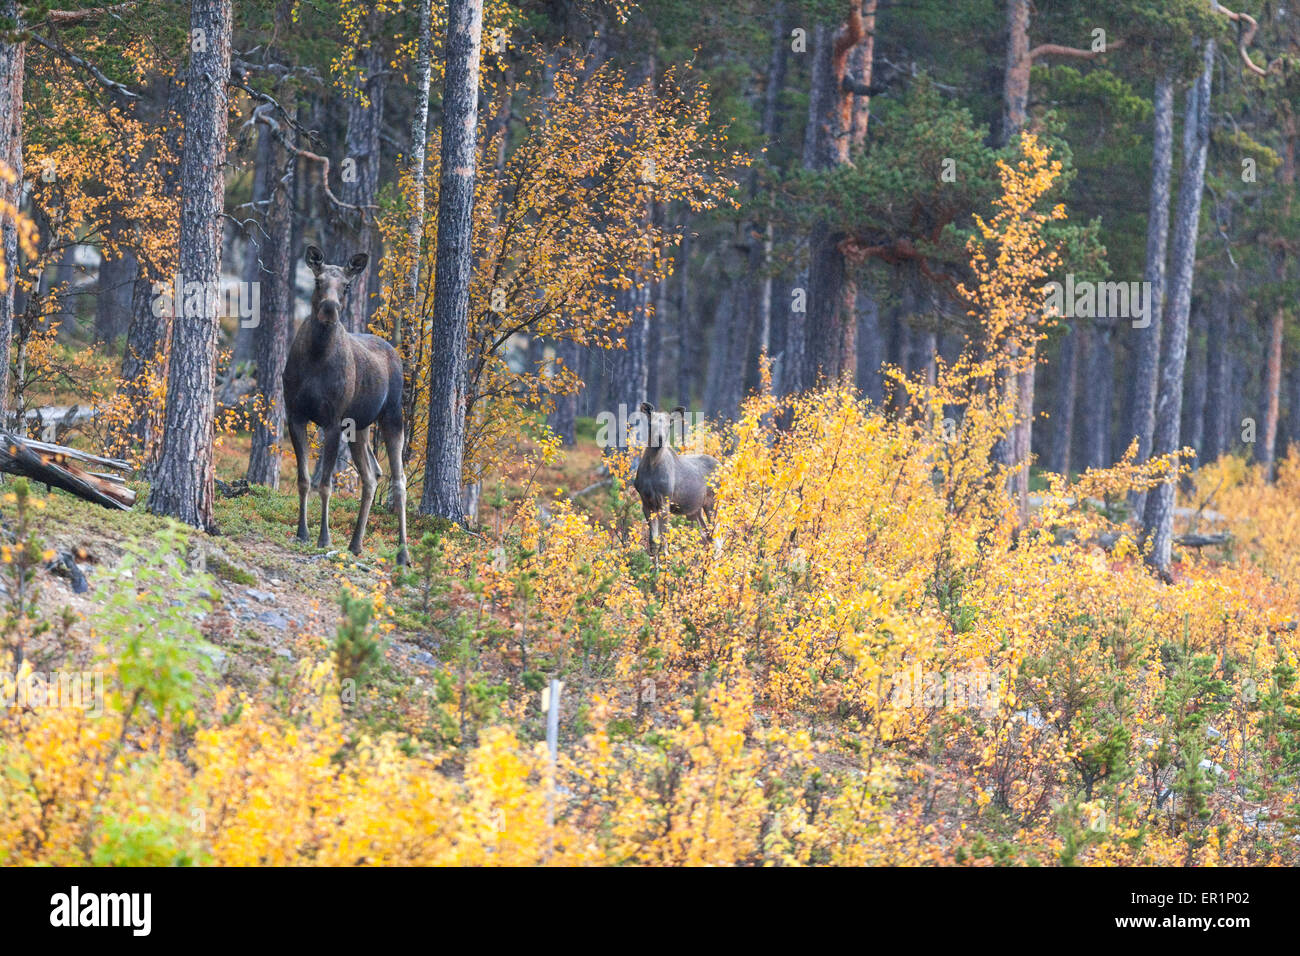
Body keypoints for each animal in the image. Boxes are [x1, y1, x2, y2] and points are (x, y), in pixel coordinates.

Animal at [283, 245, 409, 565]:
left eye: (347, 286)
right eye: (317, 281)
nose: (329, 308)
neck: (316, 355)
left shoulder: (332, 420)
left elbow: (326, 484)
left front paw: (324, 538)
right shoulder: (295, 414)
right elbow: (304, 479)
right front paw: (302, 532)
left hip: (392, 416)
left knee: (398, 480)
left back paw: (403, 554)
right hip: (360, 427)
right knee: (372, 475)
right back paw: (355, 543)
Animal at [632, 402, 718, 556]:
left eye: (670, 423)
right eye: (650, 422)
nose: (660, 439)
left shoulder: (665, 501)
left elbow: (664, 541)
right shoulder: (646, 502)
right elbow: (653, 541)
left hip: (712, 503)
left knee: (718, 538)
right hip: (696, 510)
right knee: (707, 536)